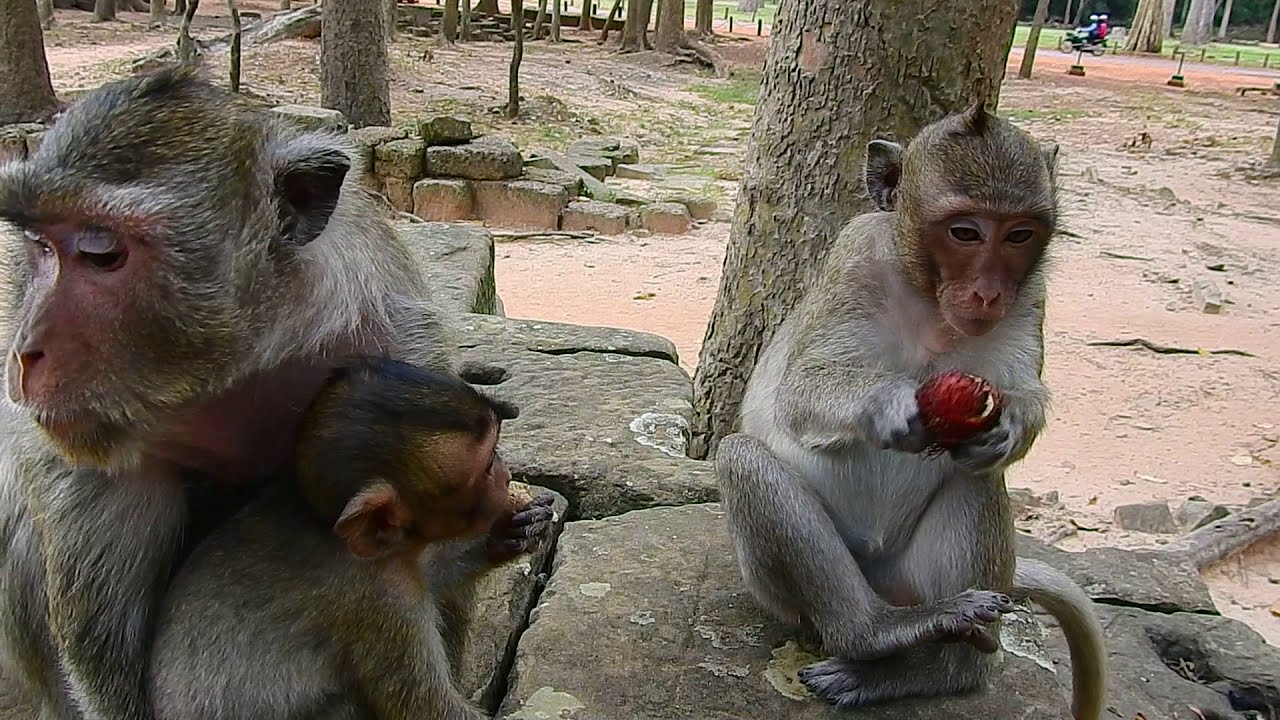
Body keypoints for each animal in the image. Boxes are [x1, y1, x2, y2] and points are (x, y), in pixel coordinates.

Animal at [149, 356, 555, 720]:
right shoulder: (382, 602)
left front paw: (511, 531)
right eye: (486, 467)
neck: (330, 531)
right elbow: (426, 707)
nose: (505, 474)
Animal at [713, 102, 1107, 720]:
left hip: (915, 575)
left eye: (1020, 235)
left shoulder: (1032, 295)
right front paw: (883, 403)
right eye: (965, 232)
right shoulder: (854, 259)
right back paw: (874, 633)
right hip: (784, 595)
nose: (989, 293)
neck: (930, 305)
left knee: (976, 476)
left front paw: (1011, 426)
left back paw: (943, 667)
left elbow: (1022, 393)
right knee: (741, 458)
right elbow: (800, 391)